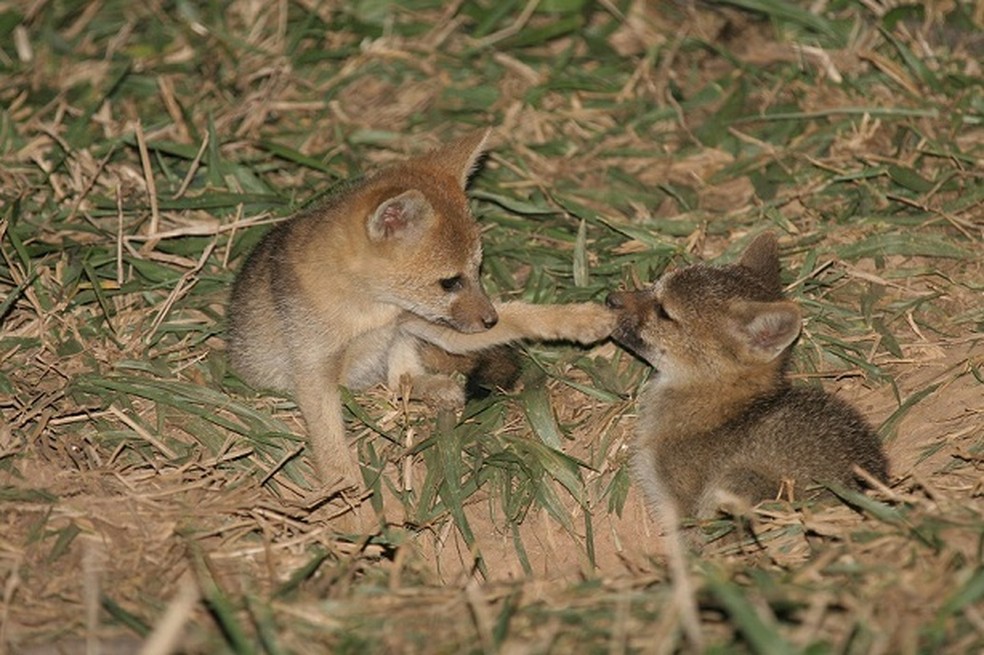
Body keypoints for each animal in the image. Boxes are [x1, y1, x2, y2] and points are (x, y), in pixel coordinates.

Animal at [226, 130, 615, 487]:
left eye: (478, 270)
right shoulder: (314, 372)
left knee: (404, 379)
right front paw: (347, 493)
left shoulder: (423, 323)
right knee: (399, 381)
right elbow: (330, 443)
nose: (489, 320)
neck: (369, 313)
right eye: (450, 282)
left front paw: (580, 318)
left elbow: (521, 313)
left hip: (419, 334)